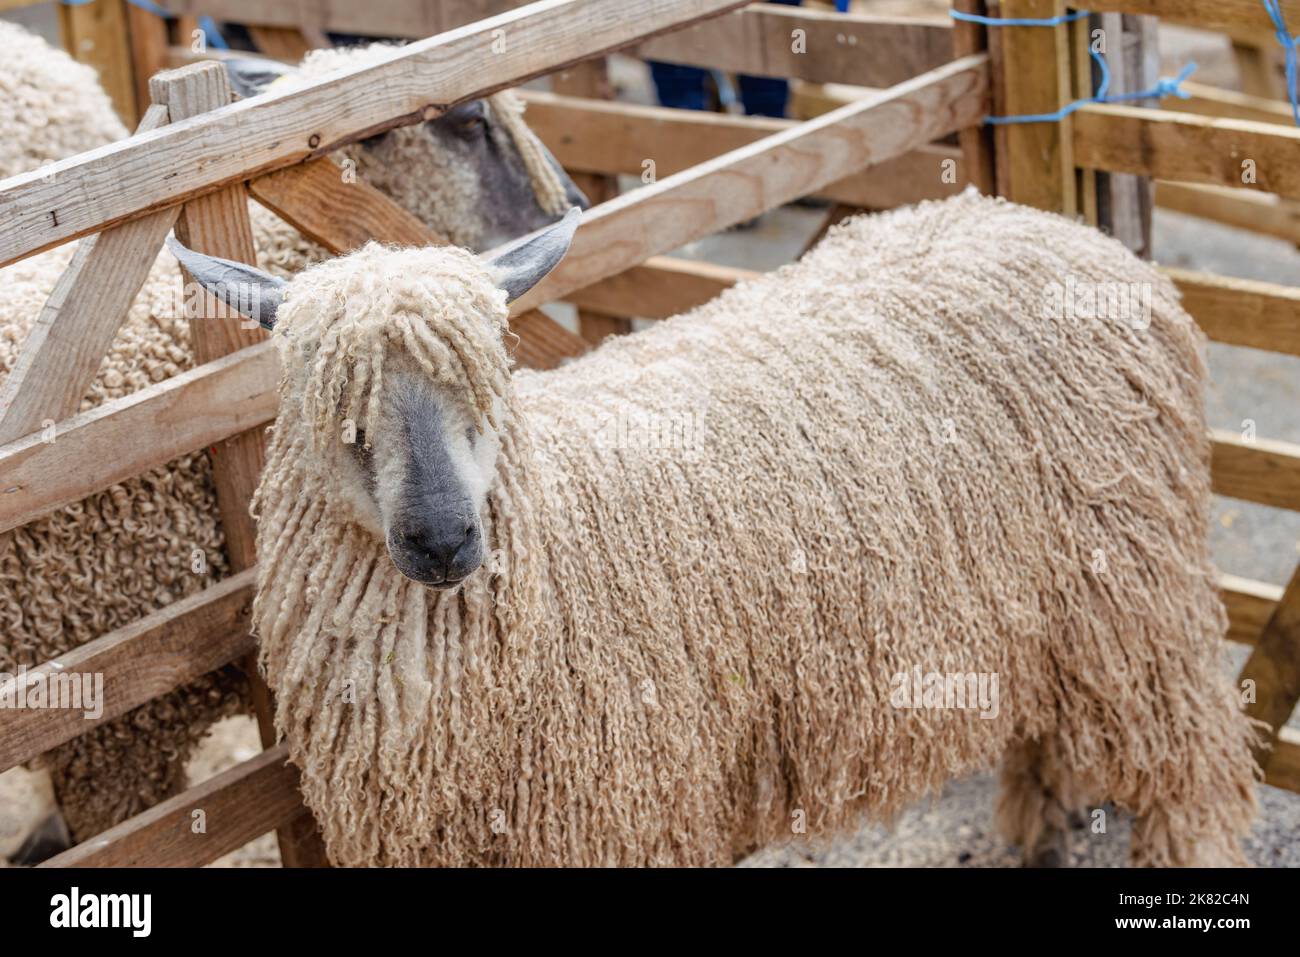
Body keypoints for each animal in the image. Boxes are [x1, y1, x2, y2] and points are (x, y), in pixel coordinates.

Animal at [177, 189, 1260, 867]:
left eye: (490, 377)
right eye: (332, 405)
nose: (445, 540)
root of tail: (1069, 235)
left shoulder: (618, 813)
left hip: (1138, 593)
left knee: (1195, 766)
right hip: (1041, 610)